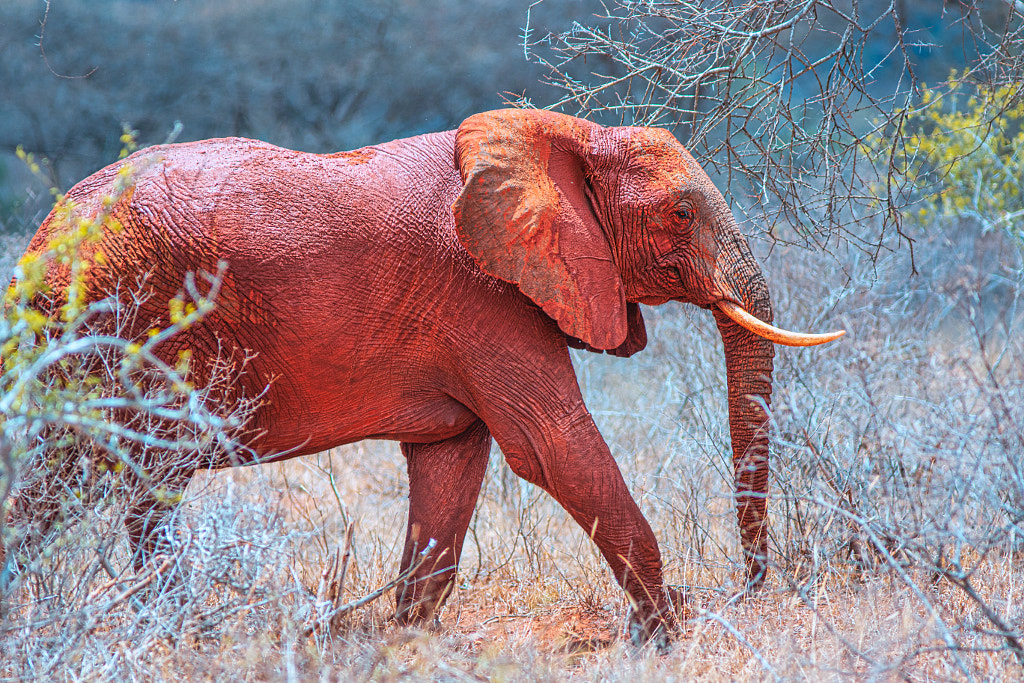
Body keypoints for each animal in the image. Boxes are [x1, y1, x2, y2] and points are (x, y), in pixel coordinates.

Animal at [12, 108, 842, 641]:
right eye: (680, 214)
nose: (750, 587)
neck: (567, 134)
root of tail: (43, 234)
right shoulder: (486, 294)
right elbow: (553, 447)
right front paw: (670, 633)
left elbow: (453, 461)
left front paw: (405, 637)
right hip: (119, 327)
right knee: (117, 480)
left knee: (71, 483)